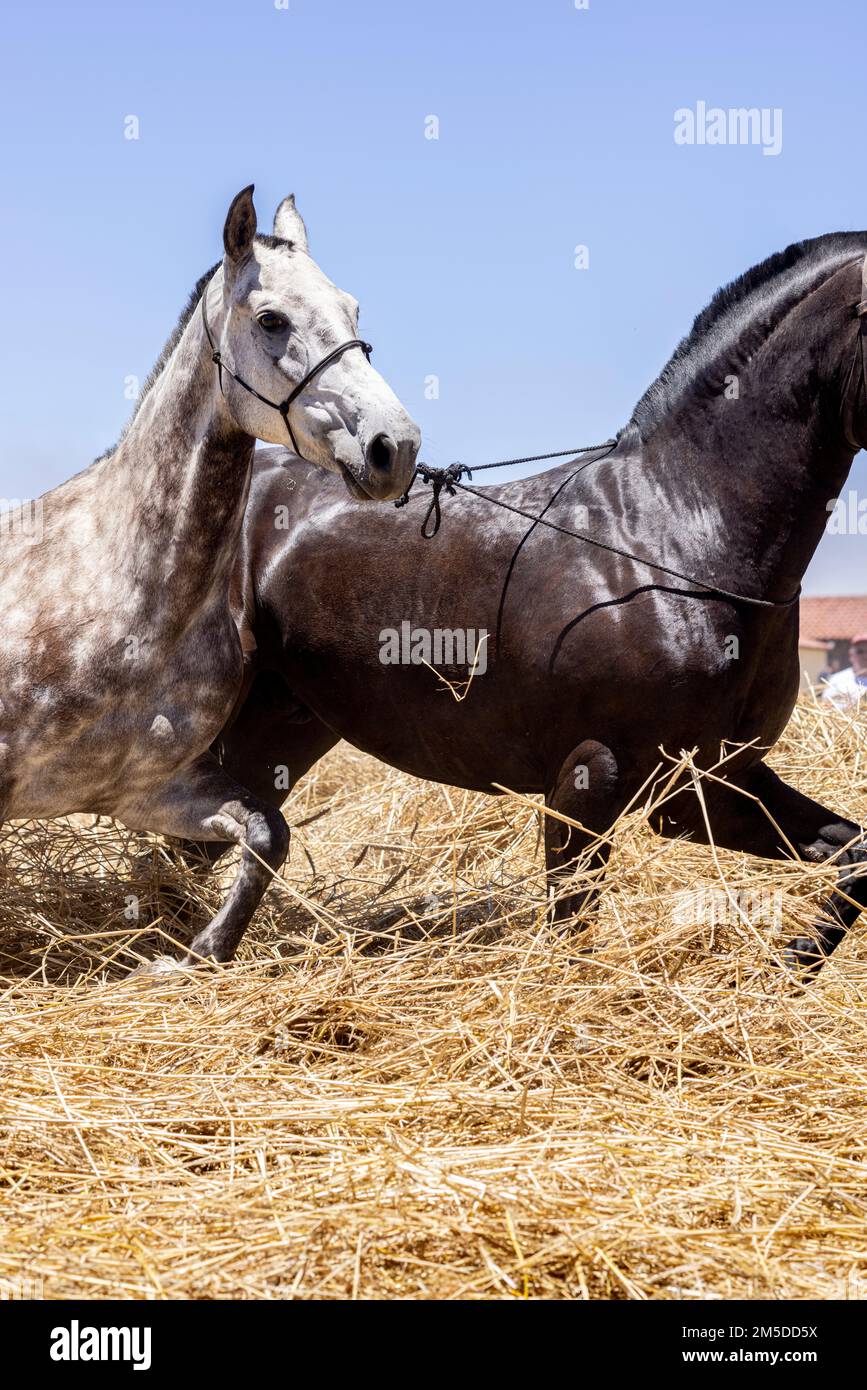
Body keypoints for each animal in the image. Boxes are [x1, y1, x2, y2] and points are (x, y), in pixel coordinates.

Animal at [0, 185, 419, 975]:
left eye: (353, 312)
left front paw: (194, 953)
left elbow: (266, 834)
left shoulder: (150, 788)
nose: (395, 449)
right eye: (272, 319)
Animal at [195, 231, 867, 976]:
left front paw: (796, 958)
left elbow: (855, 855)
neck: (673, 539)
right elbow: (571, 932)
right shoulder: (591, 777)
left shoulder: (709, 783)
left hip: (283, 726)